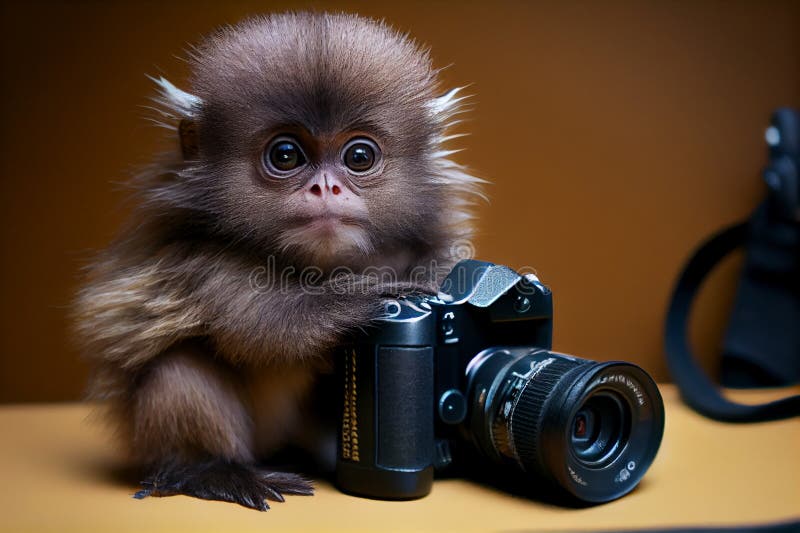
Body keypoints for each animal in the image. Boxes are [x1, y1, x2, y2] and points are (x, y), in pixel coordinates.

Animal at [73, 12, 483, 511]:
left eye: (359, 156)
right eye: (286, 155)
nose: (325, 188)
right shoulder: (201, 257)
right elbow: (261, 327)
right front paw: (370, 298)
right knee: (179, 366)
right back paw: (214, 471)